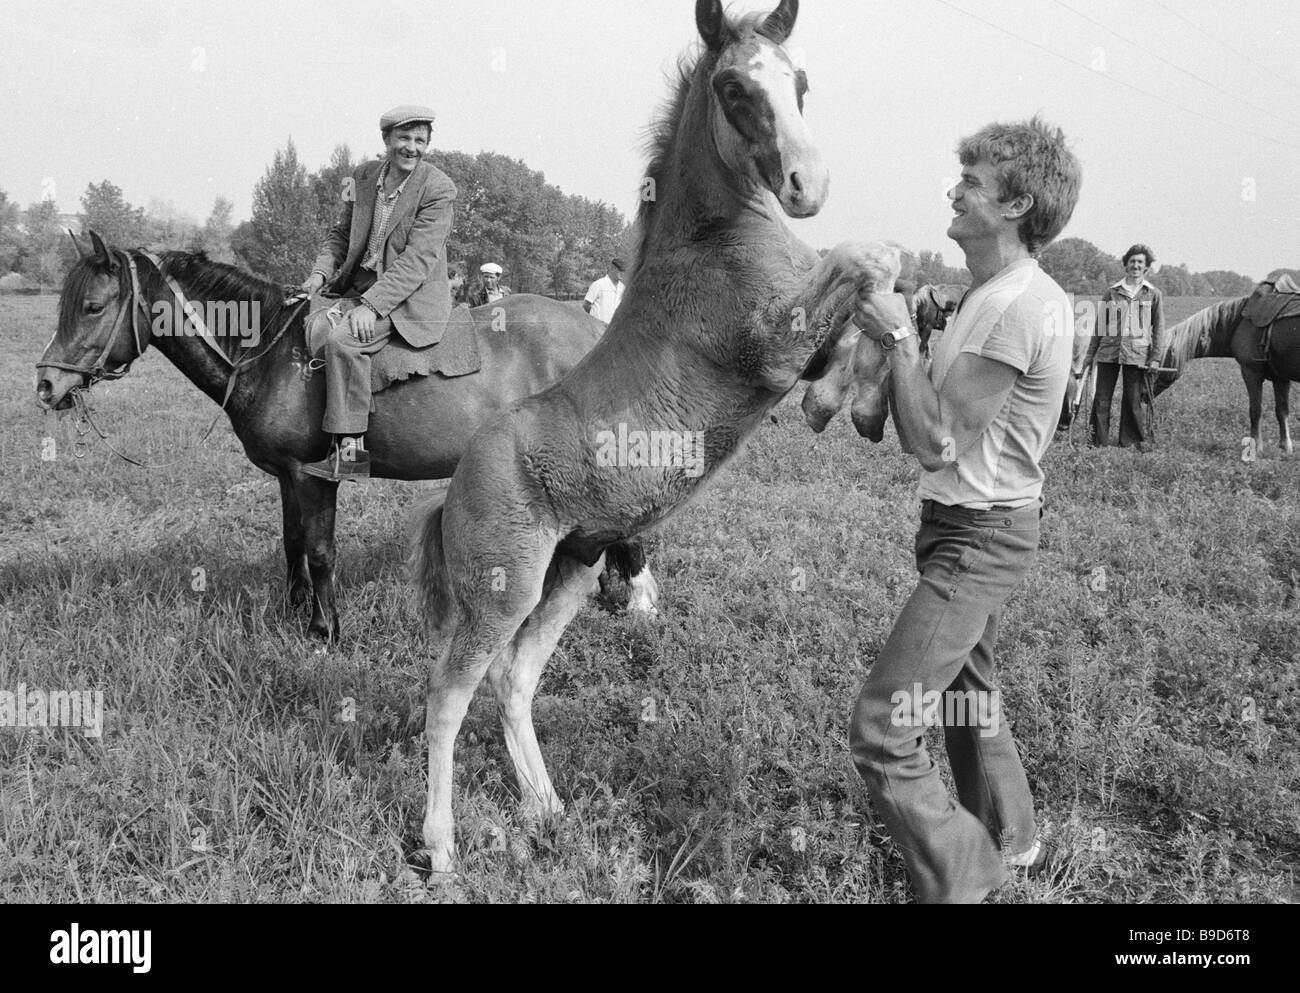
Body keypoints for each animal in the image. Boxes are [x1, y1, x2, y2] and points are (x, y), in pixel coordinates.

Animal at [35, 235, 660, 639]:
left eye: (92, 305)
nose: (45, 385)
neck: (272, 354)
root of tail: (599, 331)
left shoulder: (316, 476)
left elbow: (319, 550)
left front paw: (325, 629)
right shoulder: (286, 475)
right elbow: (291, 543)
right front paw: (291, 615)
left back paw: (638, 601)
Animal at [411, 0, 898, 873]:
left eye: (801, 80)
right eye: (735, 88)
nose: (809, 185)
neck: (719, 237)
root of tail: (452, 488)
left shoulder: (804, 345)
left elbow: (873, 299)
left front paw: (861, 401)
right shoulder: (771, 347)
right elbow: (868, 257)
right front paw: (848, 390)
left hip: (570, 572)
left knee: (514, 678)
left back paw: (547, 807)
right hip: (501, 586)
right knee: (449, 691)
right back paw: (441, 848)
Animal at [1148, 294, 1298, 455]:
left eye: (1156, 361)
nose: (1144, 395)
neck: (1239, 323)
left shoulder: (1251, 373)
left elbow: (1256, 411)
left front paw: (1255, 446)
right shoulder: (1281, 378)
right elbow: (1282, 411)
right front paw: (1286, 446)